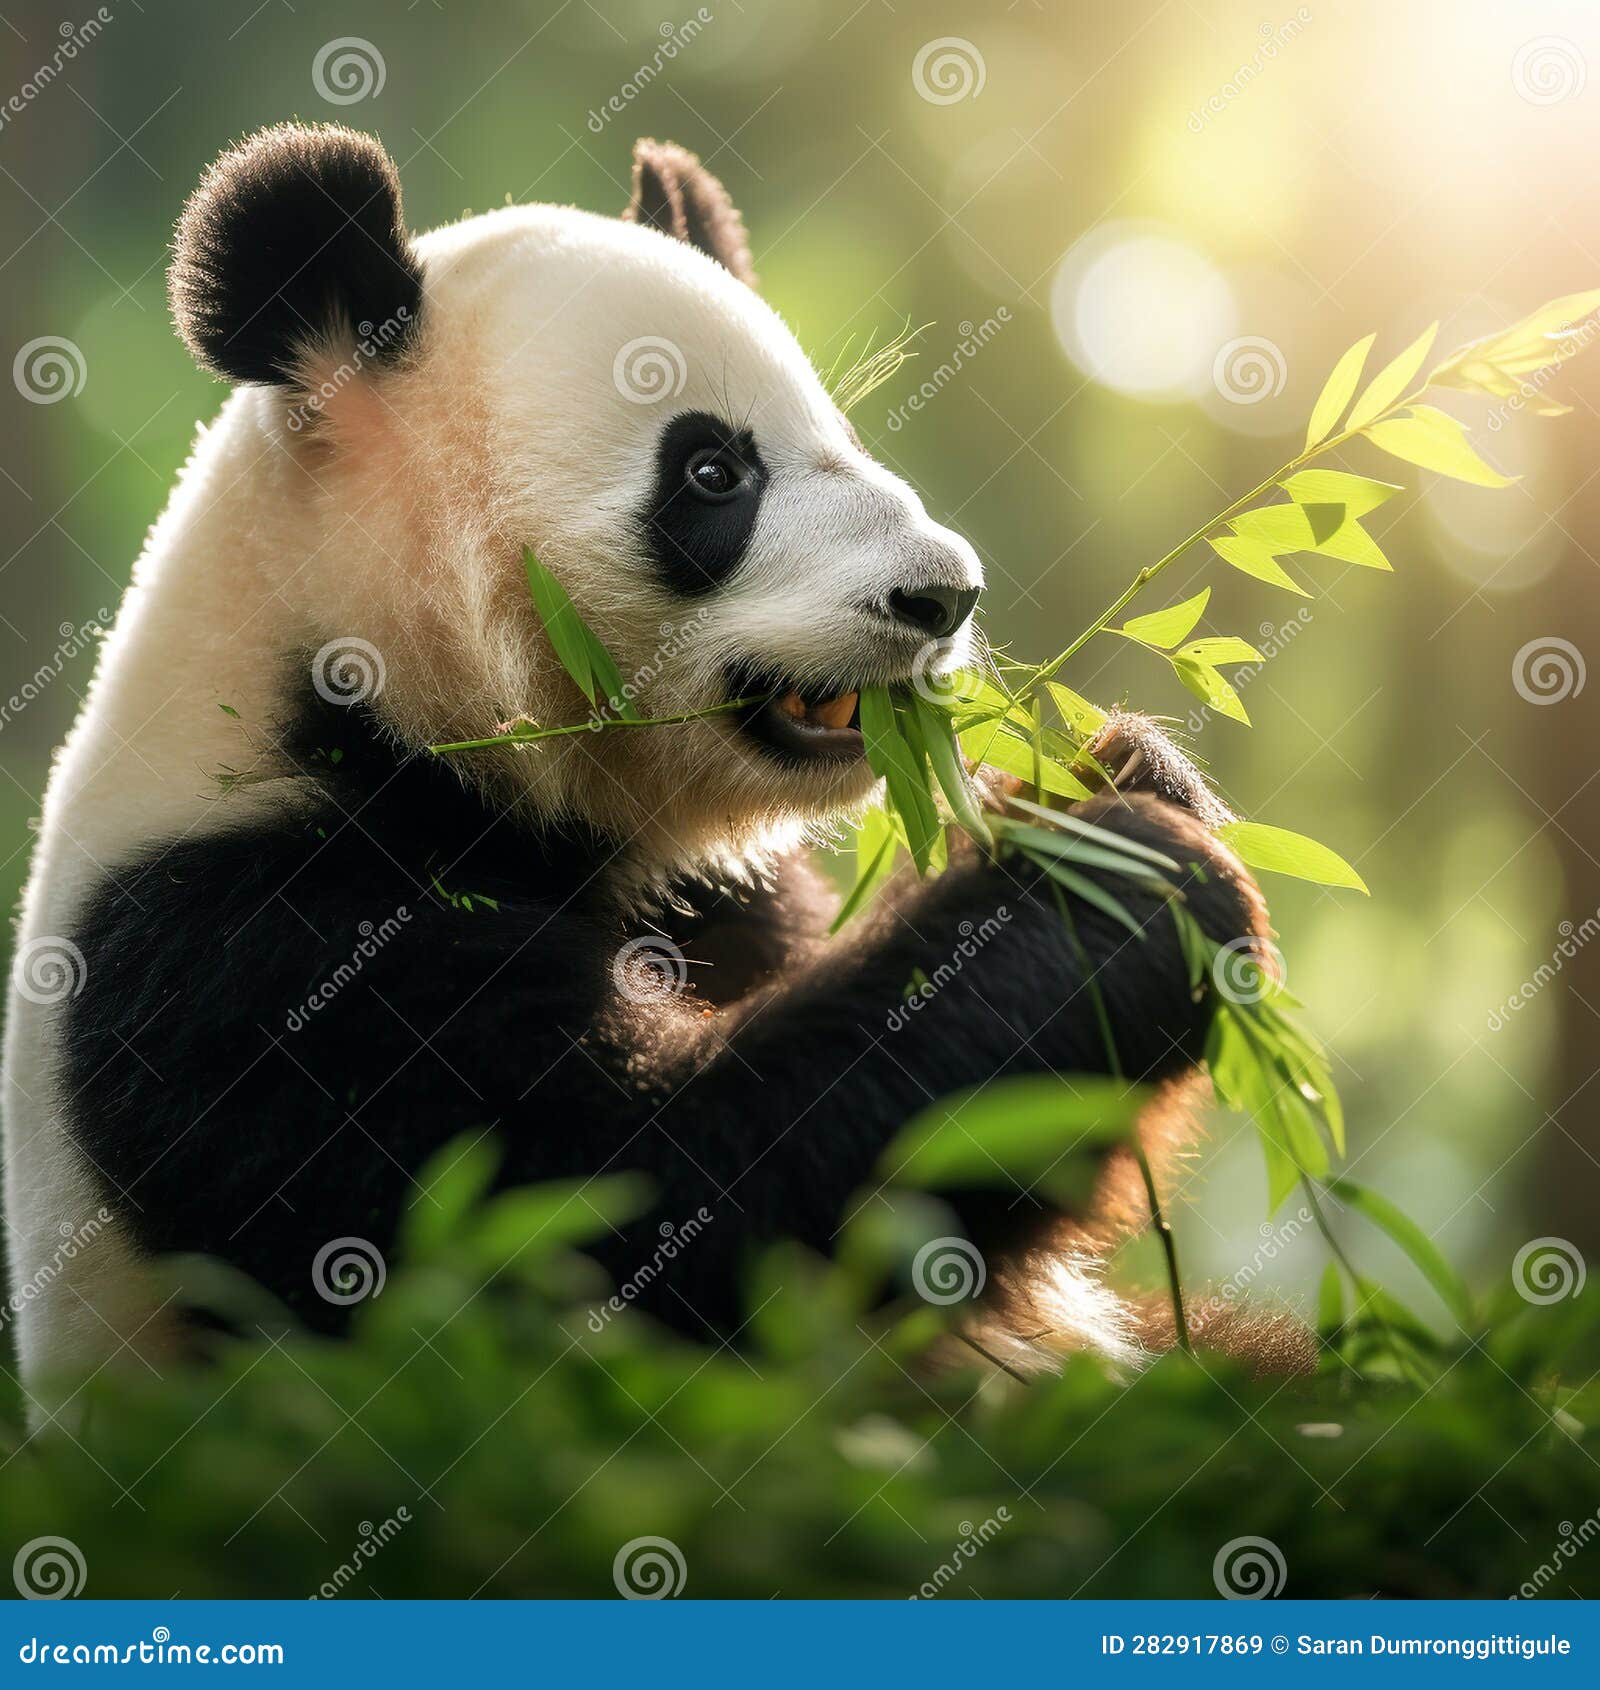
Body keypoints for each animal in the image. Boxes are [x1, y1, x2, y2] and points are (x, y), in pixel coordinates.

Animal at [2, 123, 1285, 1403]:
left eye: (843, 440)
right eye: (713, 474)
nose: (941, 595)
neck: (353, 703)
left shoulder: (727, 899)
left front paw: (1128, 774)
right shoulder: (252, 949)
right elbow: (643, 1218)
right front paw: (1117, 893)